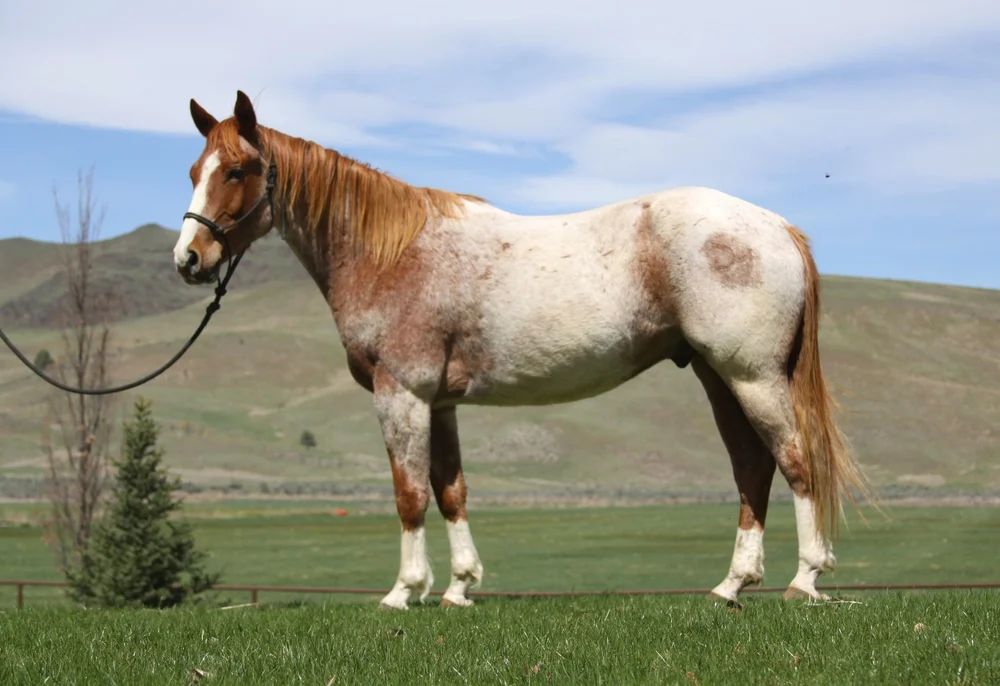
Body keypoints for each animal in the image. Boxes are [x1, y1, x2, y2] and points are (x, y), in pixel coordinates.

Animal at [173, 90, 872, 610]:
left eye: (237, 171)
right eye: (192, 172)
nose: (189, 258)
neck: (391, 252)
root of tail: (774, 225)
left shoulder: (402, 394)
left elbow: (410, 494)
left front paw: (404, 592)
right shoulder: (440, 404)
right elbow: (451, 491)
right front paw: (459, 589)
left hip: (751, 376)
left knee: (795, 460)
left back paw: (805, 579)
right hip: (717, 376)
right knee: (752, 468)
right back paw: (731, 586)